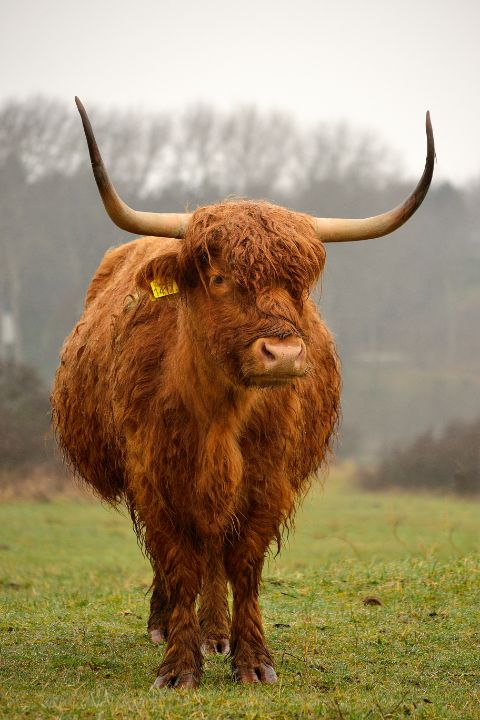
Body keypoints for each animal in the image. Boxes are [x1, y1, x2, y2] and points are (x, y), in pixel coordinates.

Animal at [51, 98, 434, 689]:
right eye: (219, 278)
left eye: (299, 285)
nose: (284, 354)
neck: (219, 416)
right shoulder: (153, 475)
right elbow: (178, 561)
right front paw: (178, 667)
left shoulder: (267, 479)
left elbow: (244, 564)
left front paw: (253, 660)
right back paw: (171, 626)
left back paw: (216, 633)